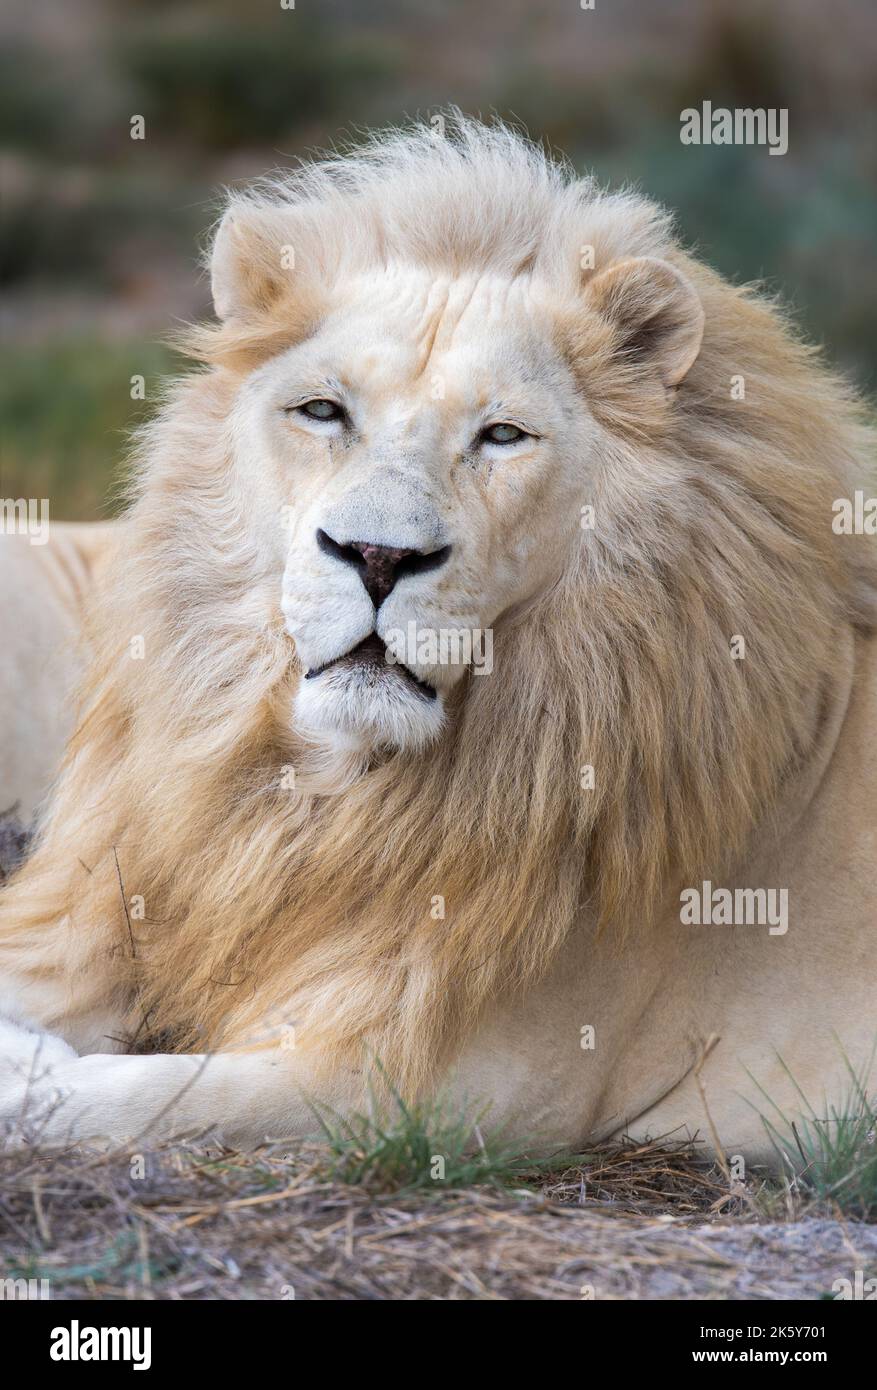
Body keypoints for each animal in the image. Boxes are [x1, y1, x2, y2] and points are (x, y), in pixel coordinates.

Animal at [1, 116, 875, 1160]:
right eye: (322, 411)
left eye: (501, 436)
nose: (378, 556)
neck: (320, 795)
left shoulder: (436, 1089)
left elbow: (147, 1094)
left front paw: (28, 1072)